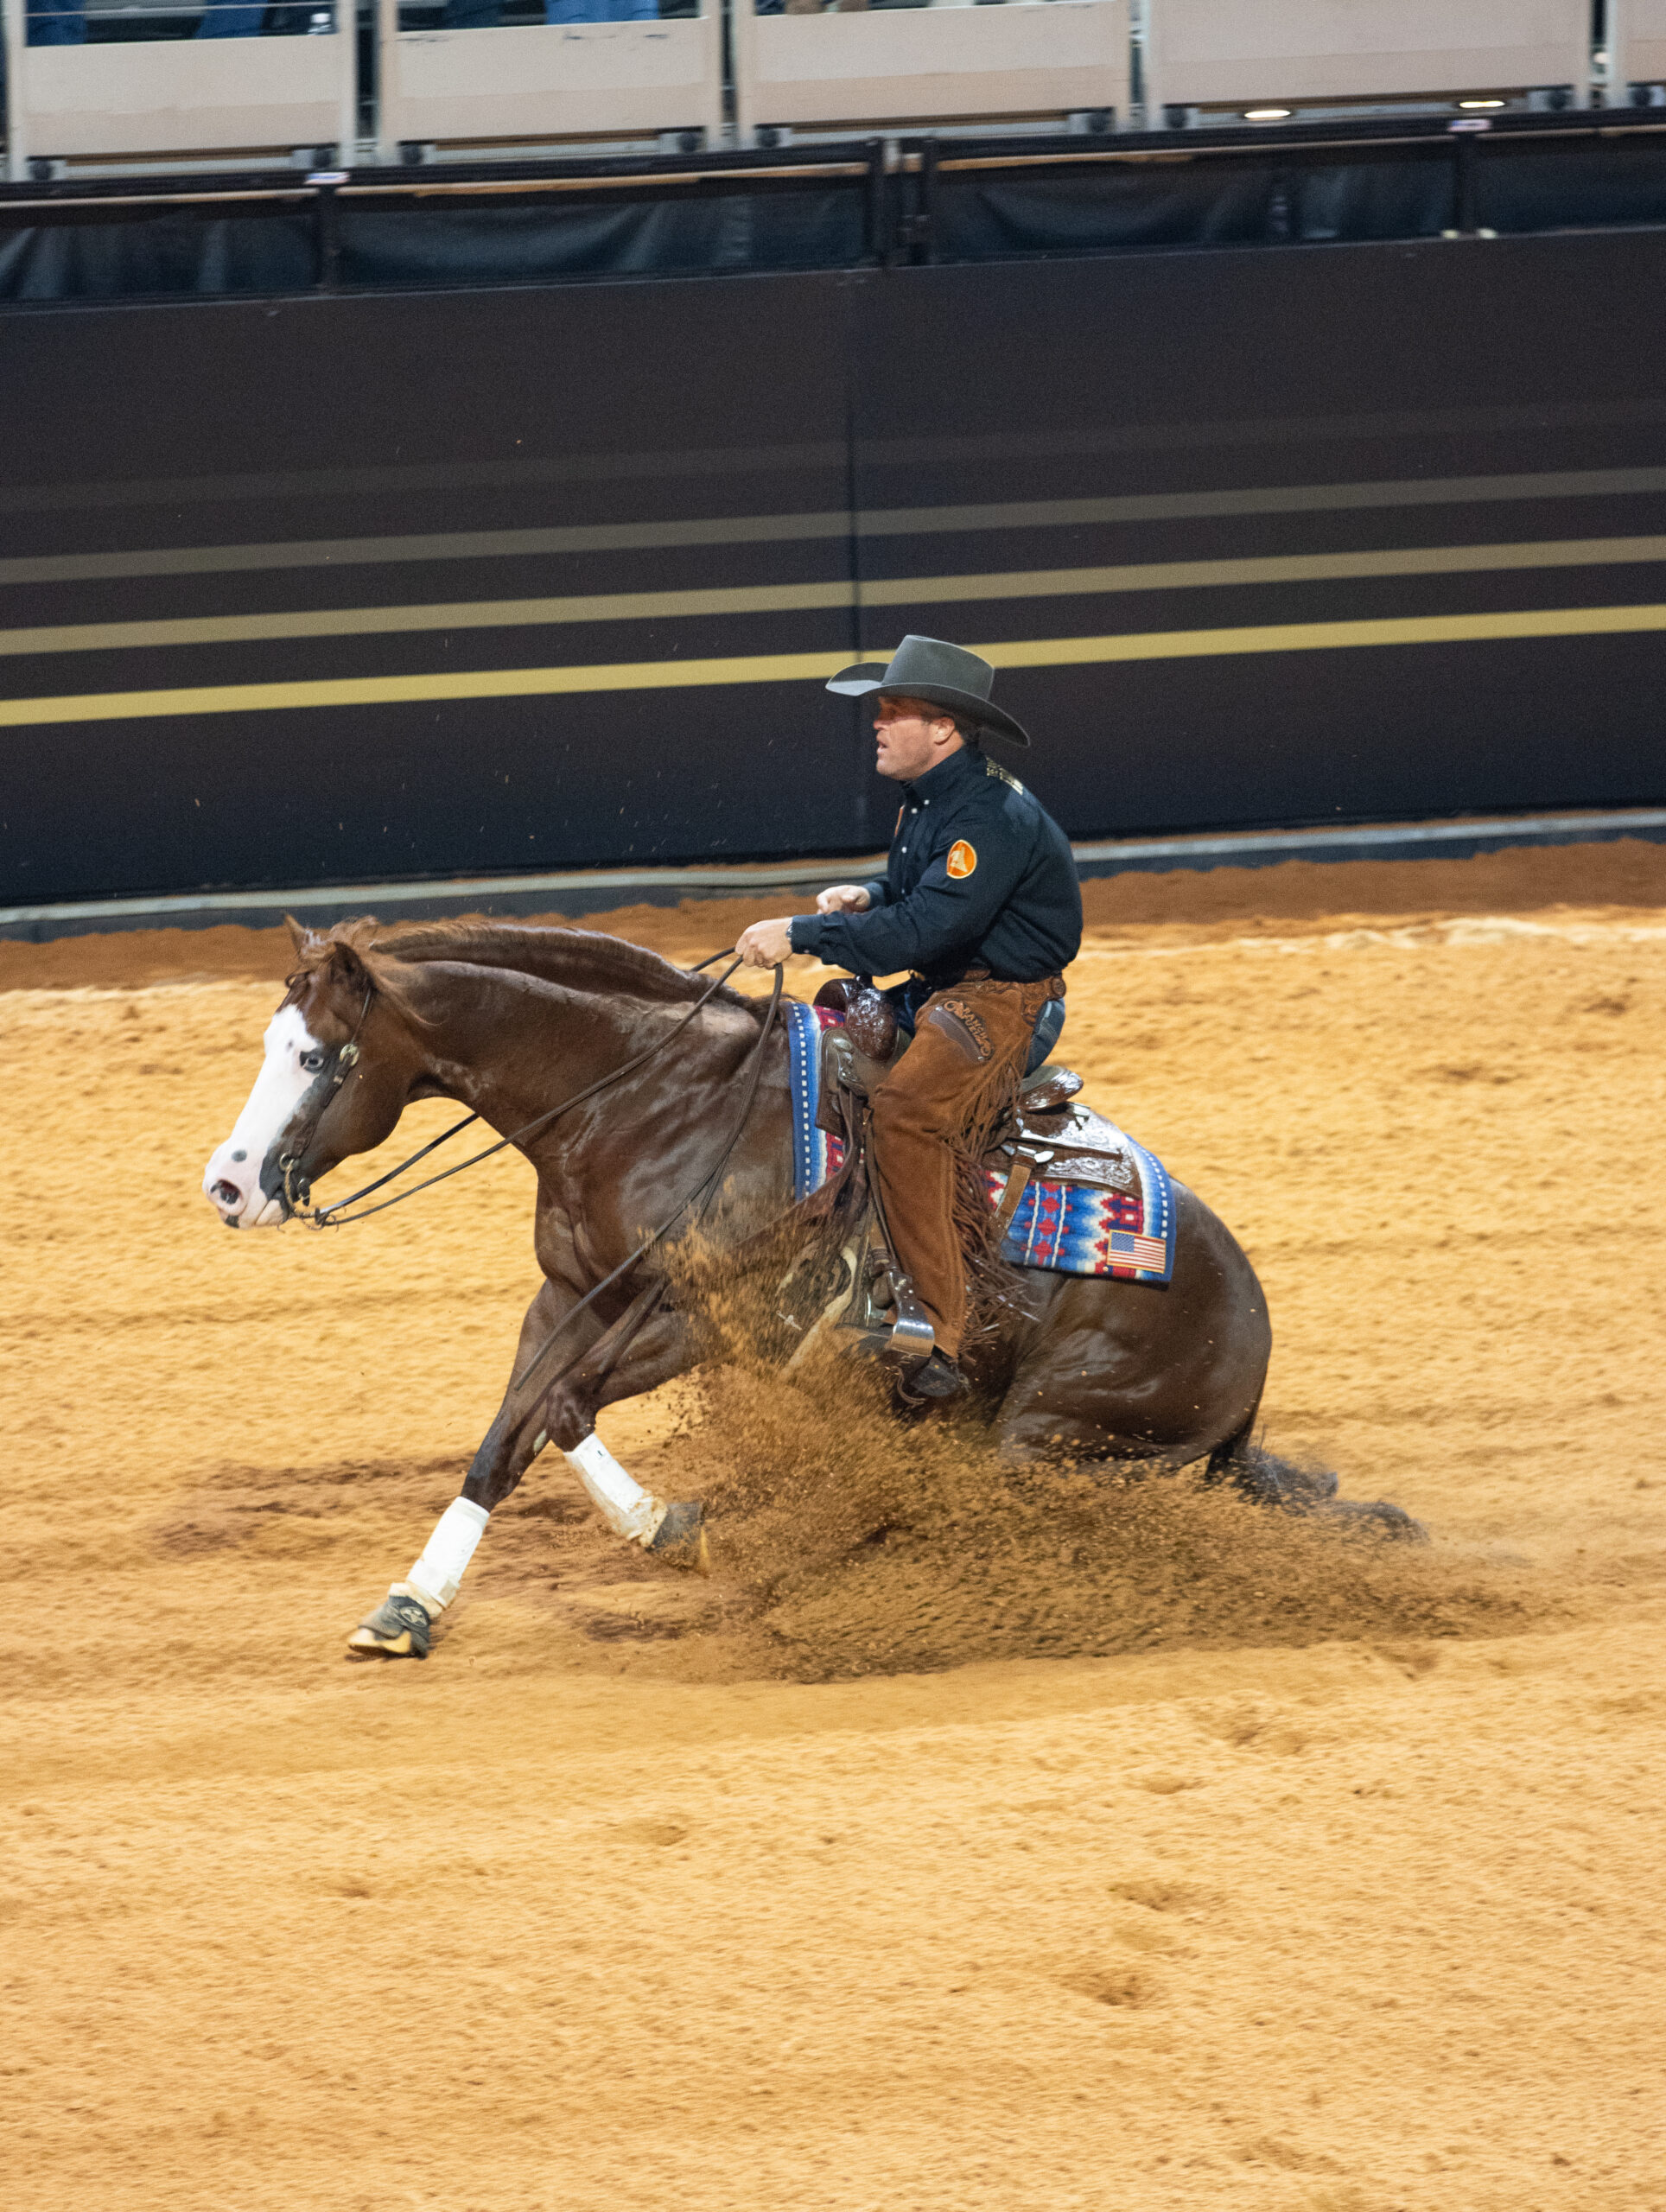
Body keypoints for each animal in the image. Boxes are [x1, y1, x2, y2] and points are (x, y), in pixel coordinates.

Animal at [201, 917, 1414, 1658]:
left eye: (316, 1056)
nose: (227, 1184)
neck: (646, 1098)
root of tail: (1247, 1352)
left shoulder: (712, 1316)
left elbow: (562, 1409)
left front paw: (676, 1528)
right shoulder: (568, 1298)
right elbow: (506, 1436)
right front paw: (410, 1605)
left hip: (1053, 1436)